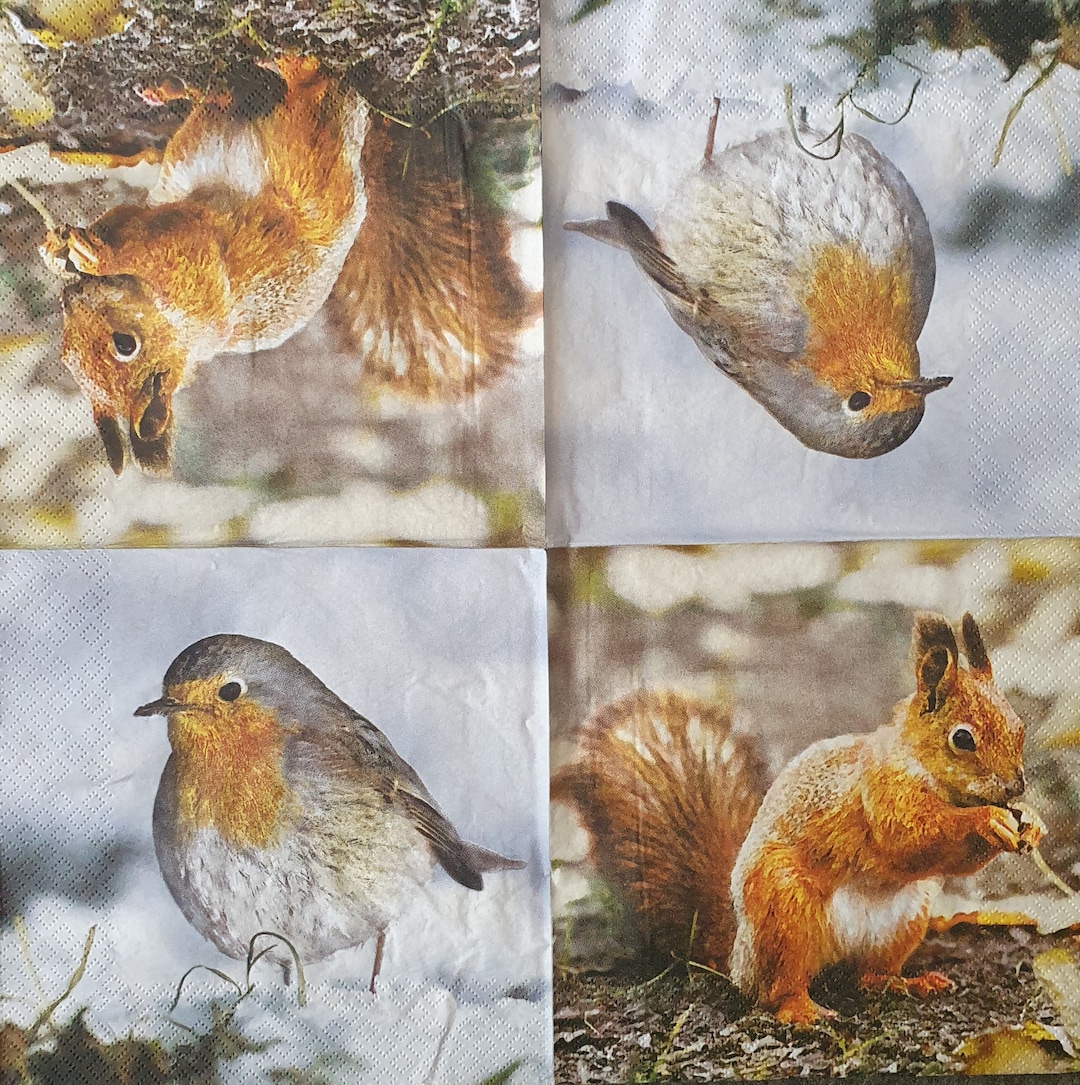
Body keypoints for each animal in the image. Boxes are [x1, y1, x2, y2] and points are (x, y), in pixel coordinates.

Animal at [43, 54, 535, 475]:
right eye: (66, 358)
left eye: (125, 345)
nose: (70, 298)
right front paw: (58, 251)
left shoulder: (194, 267)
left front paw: (88, 255)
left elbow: (161, 247)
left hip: (303, 162)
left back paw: (283, 68)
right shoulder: (149, 221)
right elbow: (123, 220)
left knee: (305, 102)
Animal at [555, 612, 1046, 1025]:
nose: (1016, 787)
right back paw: (802, 1011)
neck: (925, 771)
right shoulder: (881, 793)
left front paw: (1032, 822)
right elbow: (910, 838)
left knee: (867, 977)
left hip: (905, 917)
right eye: (962, 739)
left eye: (1019, 726)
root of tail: (736, 952)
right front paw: (988, 820)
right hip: (785, 910)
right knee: (776, 989)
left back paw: (906, 982)